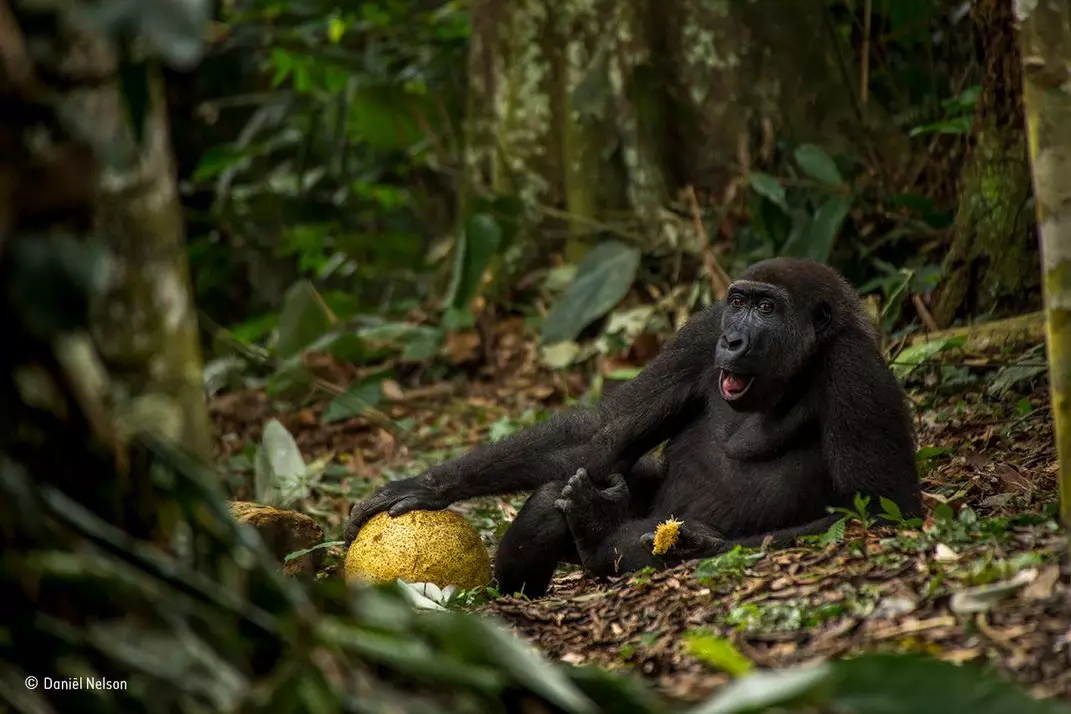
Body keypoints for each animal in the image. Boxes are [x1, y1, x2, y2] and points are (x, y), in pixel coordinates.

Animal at [342, 256, 921, 599]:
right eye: (737, 302)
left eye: (766, 307)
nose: (733, 340)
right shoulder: (700, 332)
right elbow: (603, 433)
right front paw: (428, 485)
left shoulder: (855, 371)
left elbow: (881, 509)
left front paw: (698, 545)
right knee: (562, 486)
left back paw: (599, 533)